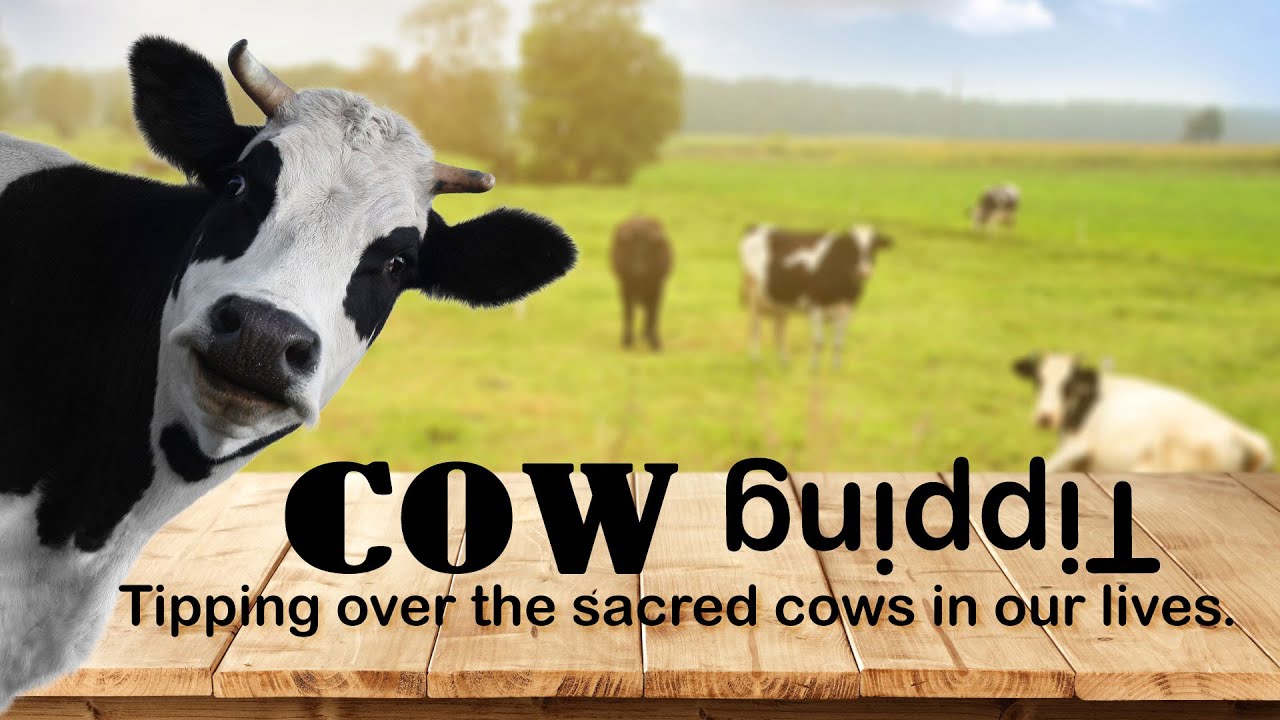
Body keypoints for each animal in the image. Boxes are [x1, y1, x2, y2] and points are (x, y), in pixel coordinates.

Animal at [610, 216, 673, 351]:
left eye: (648, 248)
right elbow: (629, 313)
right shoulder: (626, 286)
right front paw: (627, 341)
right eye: (631, 248)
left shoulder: (657, 287)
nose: (638, 270)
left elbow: (652, 313)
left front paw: (655, 342)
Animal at [740, 224, 891, 369]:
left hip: (779, 302)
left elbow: (839, 342)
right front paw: (814, 368)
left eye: (873, 247)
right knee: (755, 327)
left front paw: (837, 368)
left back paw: (784, 362)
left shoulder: (847, 310)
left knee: (779, 331)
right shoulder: (815, 306)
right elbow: (818, 341)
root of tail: (757, 227)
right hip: (753, 295)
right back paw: (755, 359)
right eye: (851, 248)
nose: (863, 271)